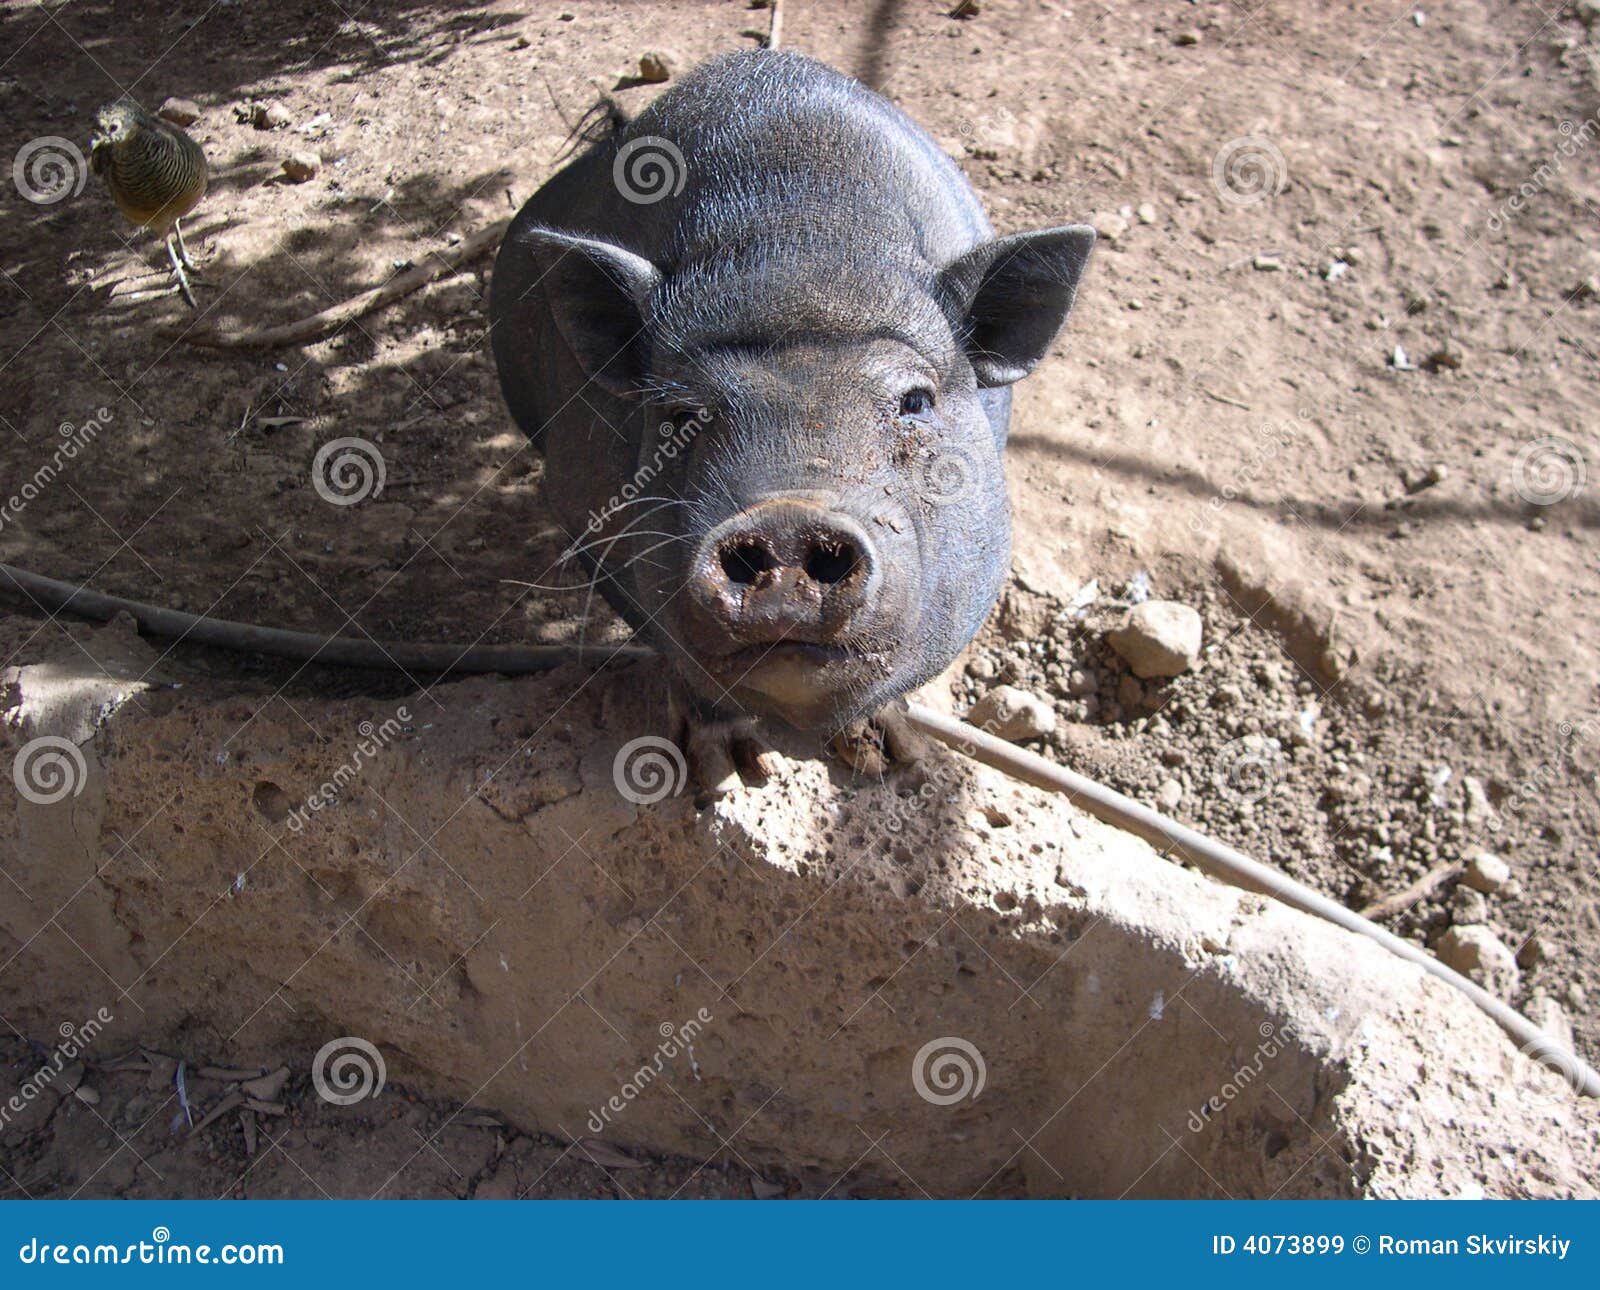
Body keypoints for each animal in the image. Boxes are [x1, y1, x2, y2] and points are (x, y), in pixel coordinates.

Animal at [490, 50, 1093, 789]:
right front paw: (726, 773)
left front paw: (894, 760)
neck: (798, 256)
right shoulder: (579, 504)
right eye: (678, 416)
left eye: (916, 401)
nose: (786, 519)